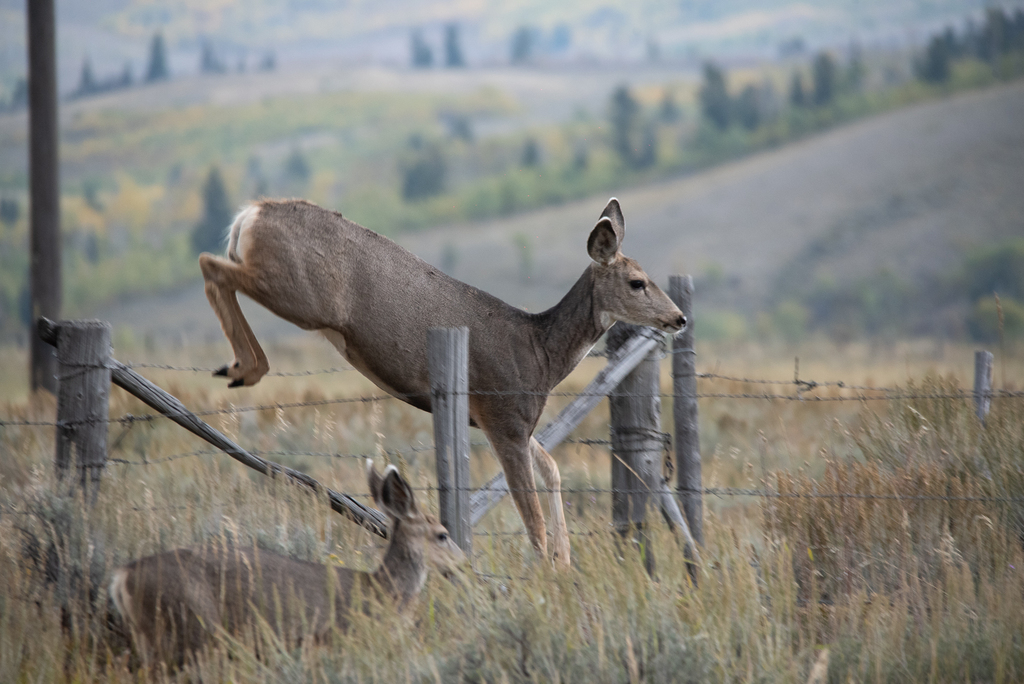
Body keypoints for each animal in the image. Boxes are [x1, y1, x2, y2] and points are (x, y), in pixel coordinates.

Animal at [109, 462, 465, 668]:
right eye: (442, 535)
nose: (464, 565)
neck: (383, 592)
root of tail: (122, 576)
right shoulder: (335, 640)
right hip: (187, 628)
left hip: (152, 636)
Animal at [198, 197, 686, 568]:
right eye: (637, 282)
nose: (679, 318)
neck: (540, 354)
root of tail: (252, 212)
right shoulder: (504, 415)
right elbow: (532, 520)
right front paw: (548, 576)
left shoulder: (507, 419)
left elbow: (552, 468)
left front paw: (564, 562)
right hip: (303, 294)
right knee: (211, 264)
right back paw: (246, 367)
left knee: (215, 265)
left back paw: (240, 367)